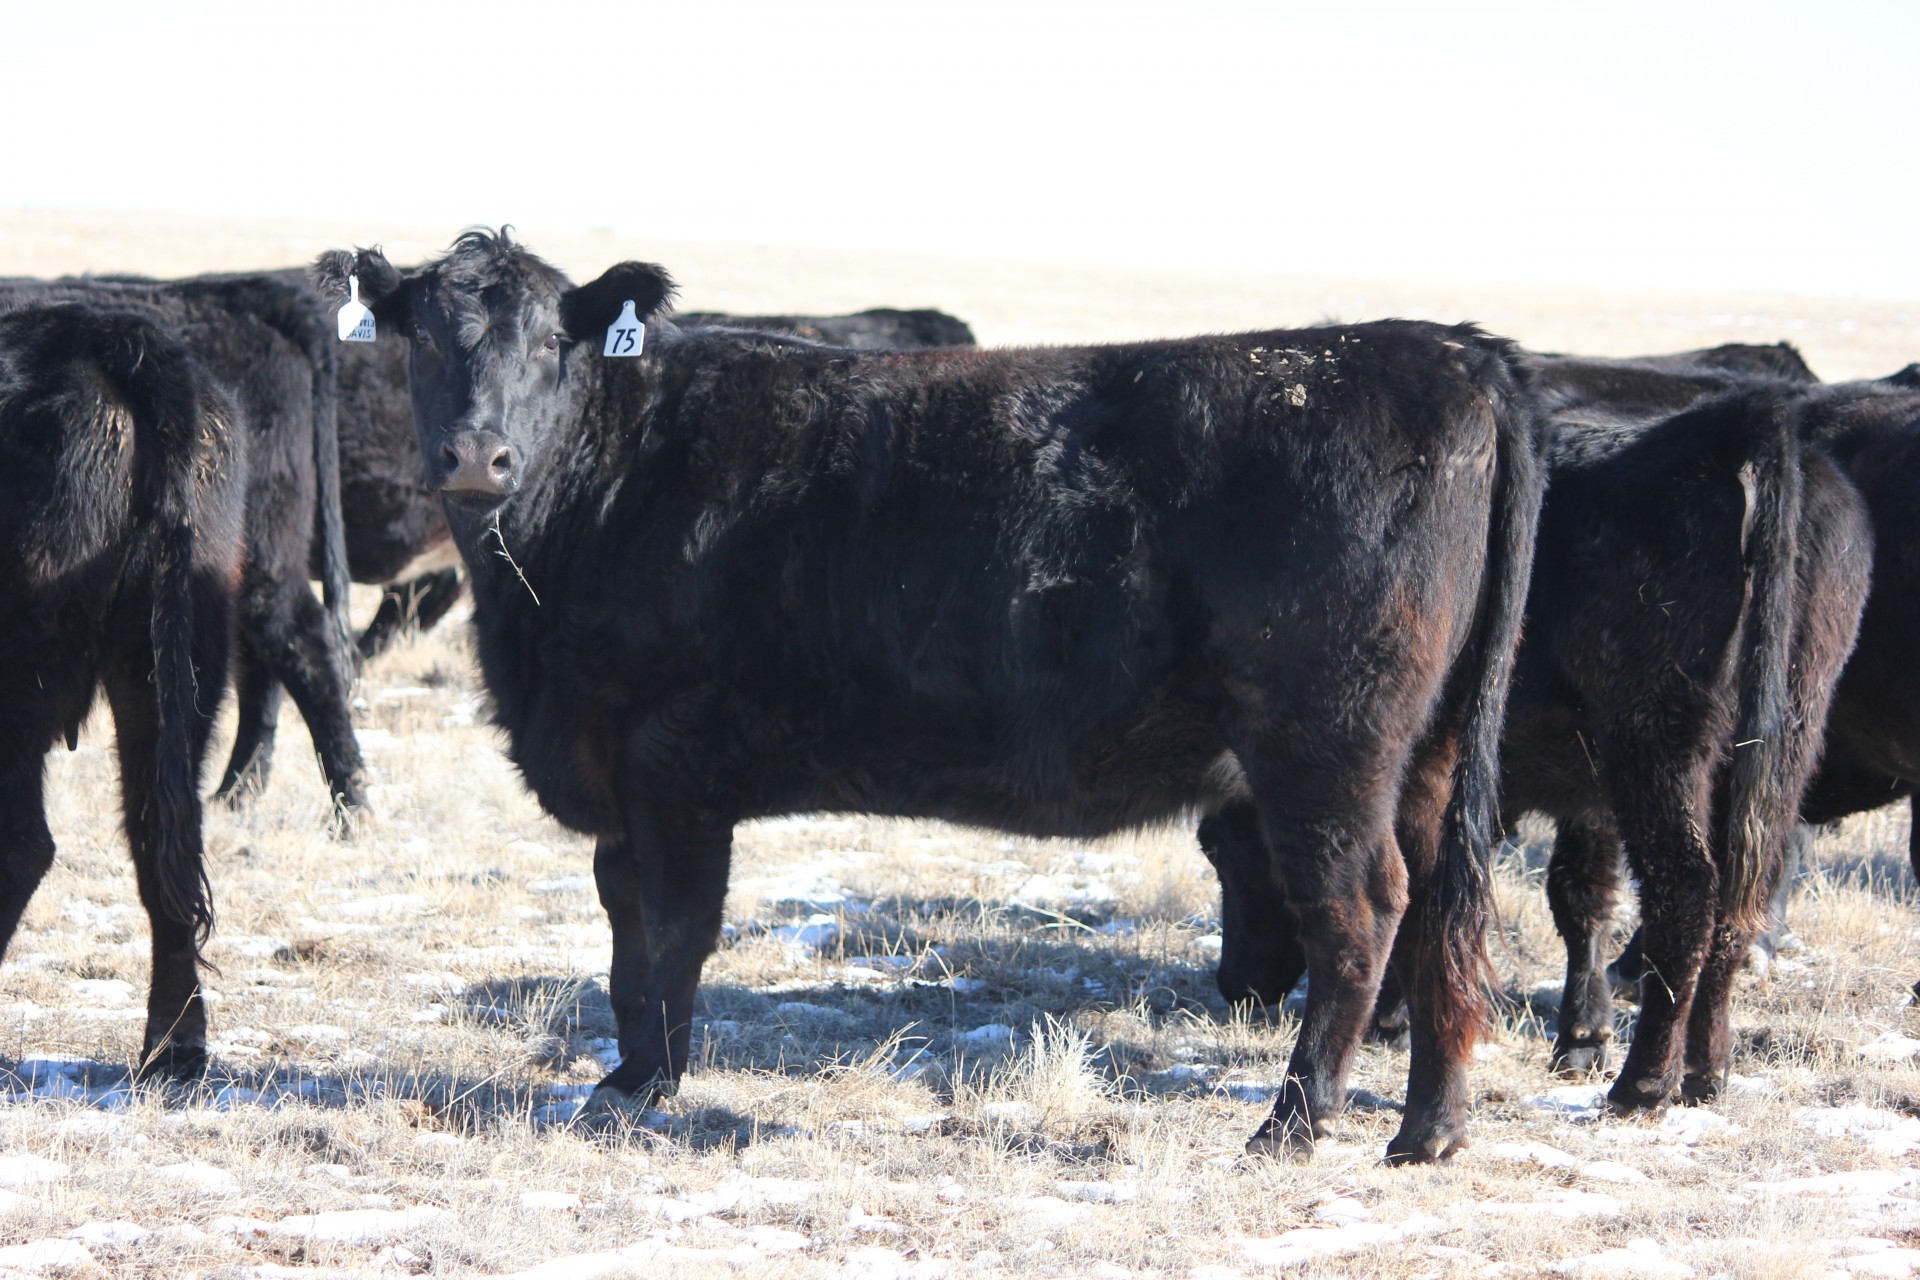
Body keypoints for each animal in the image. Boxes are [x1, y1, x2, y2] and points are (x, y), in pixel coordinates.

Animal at [312, 230, 1545, 1163]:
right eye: (426, 334)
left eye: (548, 341)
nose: (477, 456)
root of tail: (1450, 351)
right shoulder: (620, 778)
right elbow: (626, 937)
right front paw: (626, 1075)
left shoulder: (670, 763)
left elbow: (673, 932)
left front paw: (651, 1085)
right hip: (1424, 756)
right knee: (1441, 911)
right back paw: (1427, 1129)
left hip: (1324, 747)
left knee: (1363, 912)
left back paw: (1293, 1123)